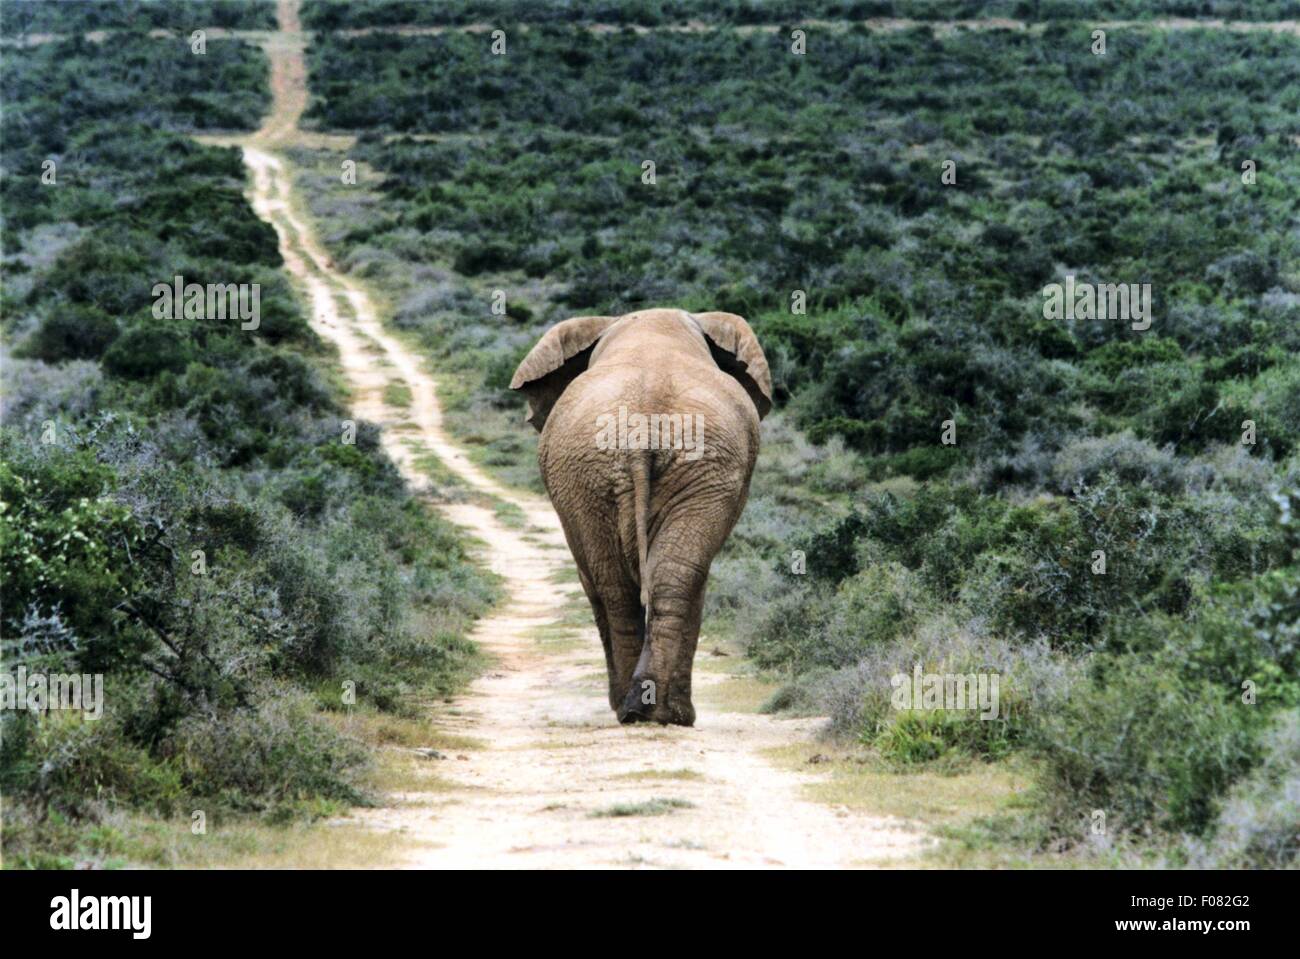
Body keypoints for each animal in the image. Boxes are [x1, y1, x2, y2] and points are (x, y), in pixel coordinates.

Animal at [511, 308, 772, 726]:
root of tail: (645, 421)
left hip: (613, 470)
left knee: (620, 584)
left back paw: (641, 709)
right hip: (646, 468)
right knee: (668, 579)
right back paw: (655, 710)